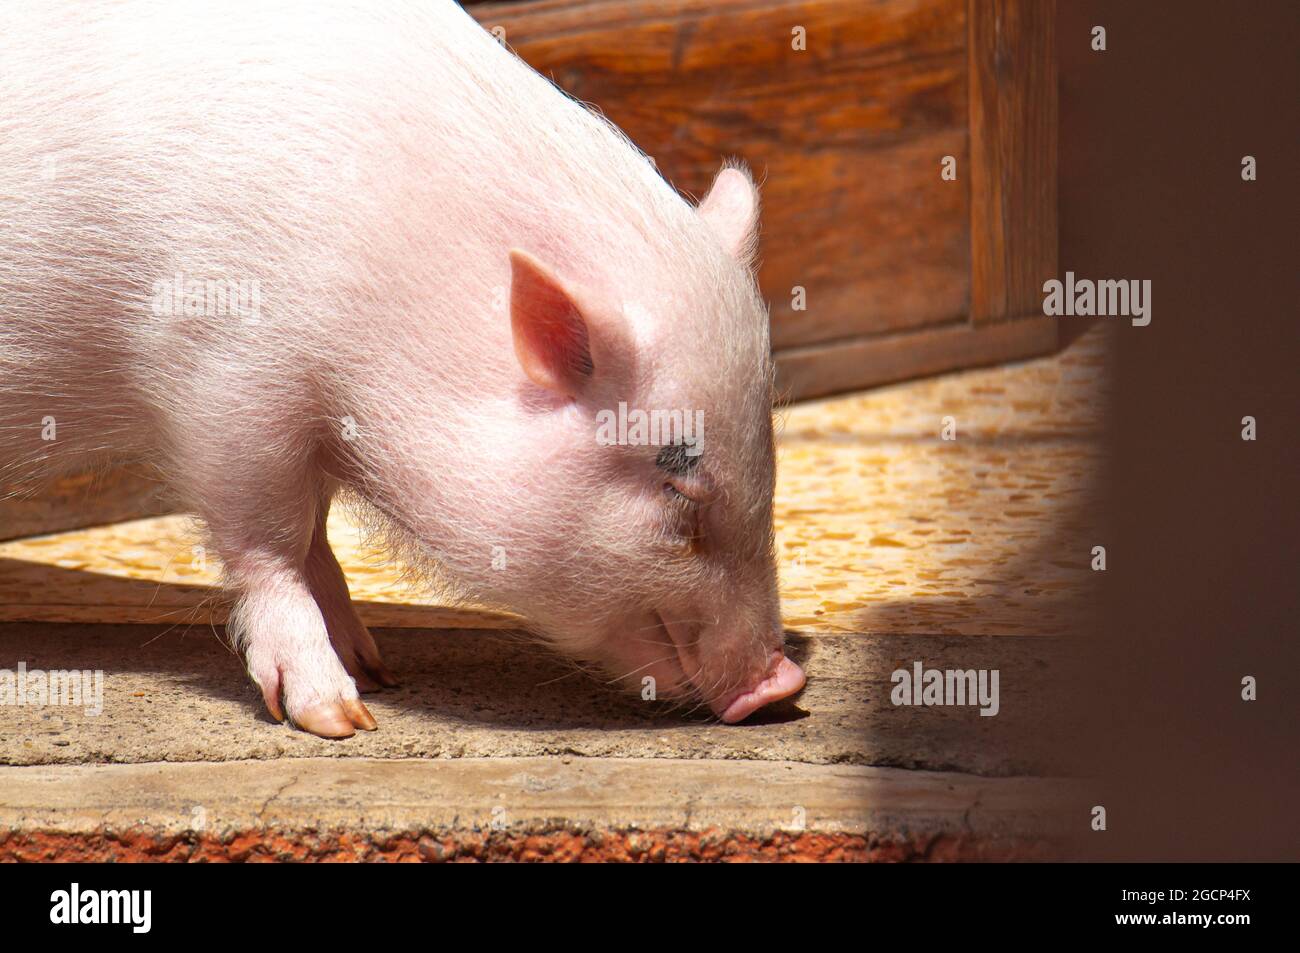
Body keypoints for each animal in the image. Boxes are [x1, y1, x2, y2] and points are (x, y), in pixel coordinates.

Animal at [0, 0, 805, 737]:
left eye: (768, 465)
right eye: (676, 484)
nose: (780, 686)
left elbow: (318, 535)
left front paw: (376, 671)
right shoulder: (223, 373)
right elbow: (271, 540)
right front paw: (340, 716)